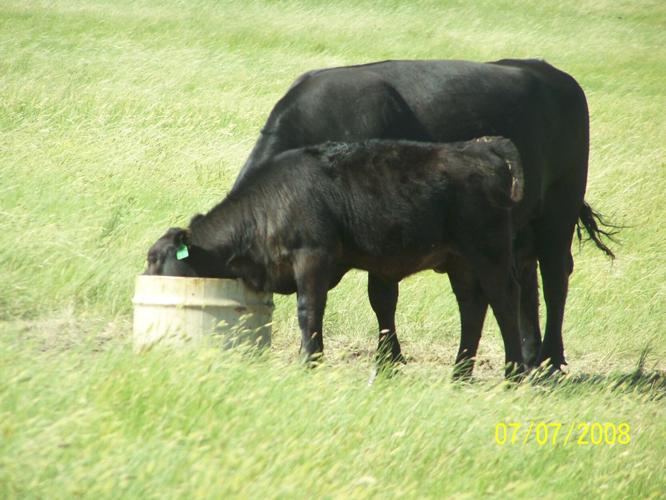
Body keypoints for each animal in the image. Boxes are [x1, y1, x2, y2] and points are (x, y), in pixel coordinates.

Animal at [145, 137, 526, 377]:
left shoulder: (313, 258)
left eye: (153, 258)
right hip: (459, 262)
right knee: (472, 308)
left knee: (506, 302)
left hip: (489, 252)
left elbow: (309, 311)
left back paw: (514, 373)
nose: (145, 280)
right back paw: (459, 375)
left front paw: (309, 361)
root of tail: (483, 148)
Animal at [231, 59, 615, 376]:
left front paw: (388, 360)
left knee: (555, 280)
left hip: (558, 214)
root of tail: (555, 75)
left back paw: (551, 360)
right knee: (525, 283)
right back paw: (531, 357)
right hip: (514, 232)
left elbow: (381, 296)